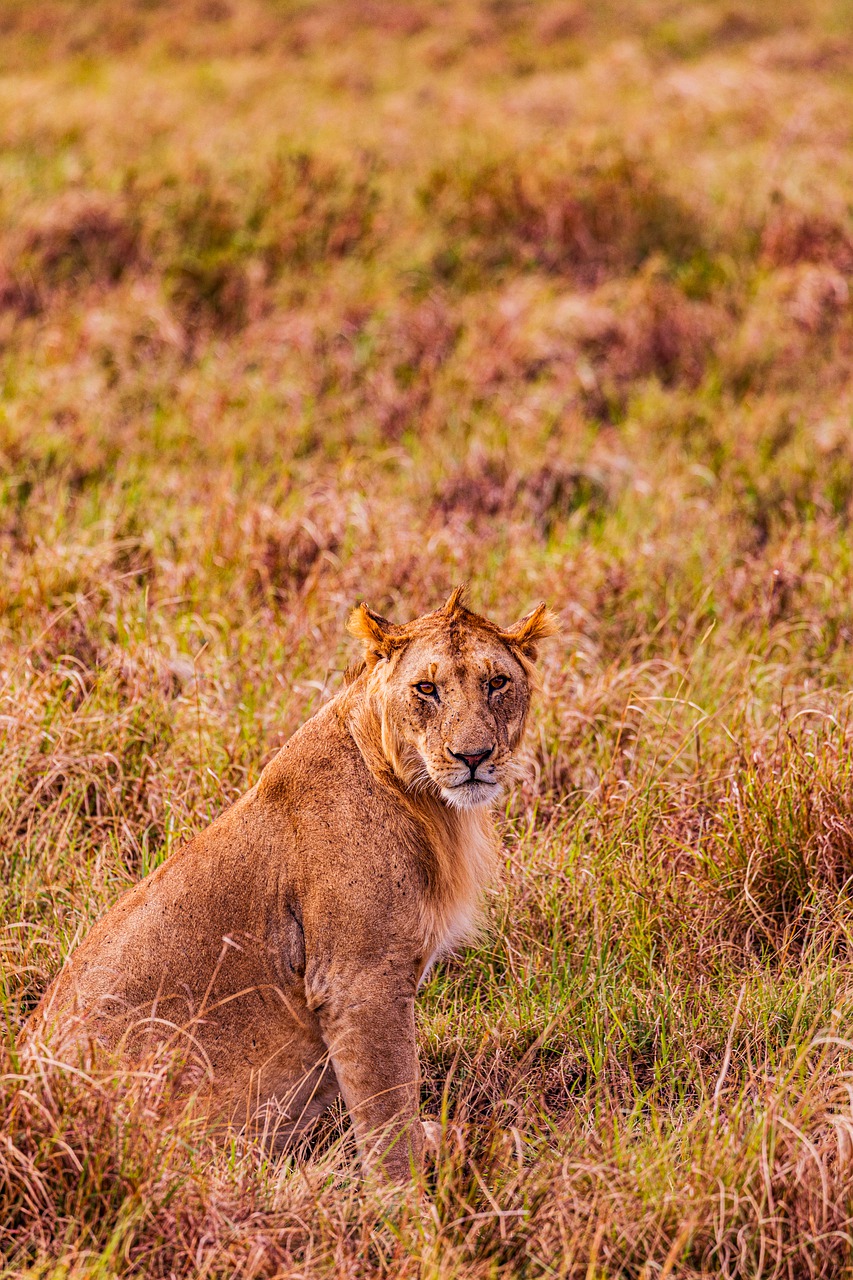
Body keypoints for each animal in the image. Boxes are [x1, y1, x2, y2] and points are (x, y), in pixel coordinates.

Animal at [24, 588, 557, 1179]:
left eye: (497, 683)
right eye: (426, 688)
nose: (473, 757)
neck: (427, 805)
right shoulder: (358, 984)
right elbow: (390, 1121)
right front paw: (405, 1202)